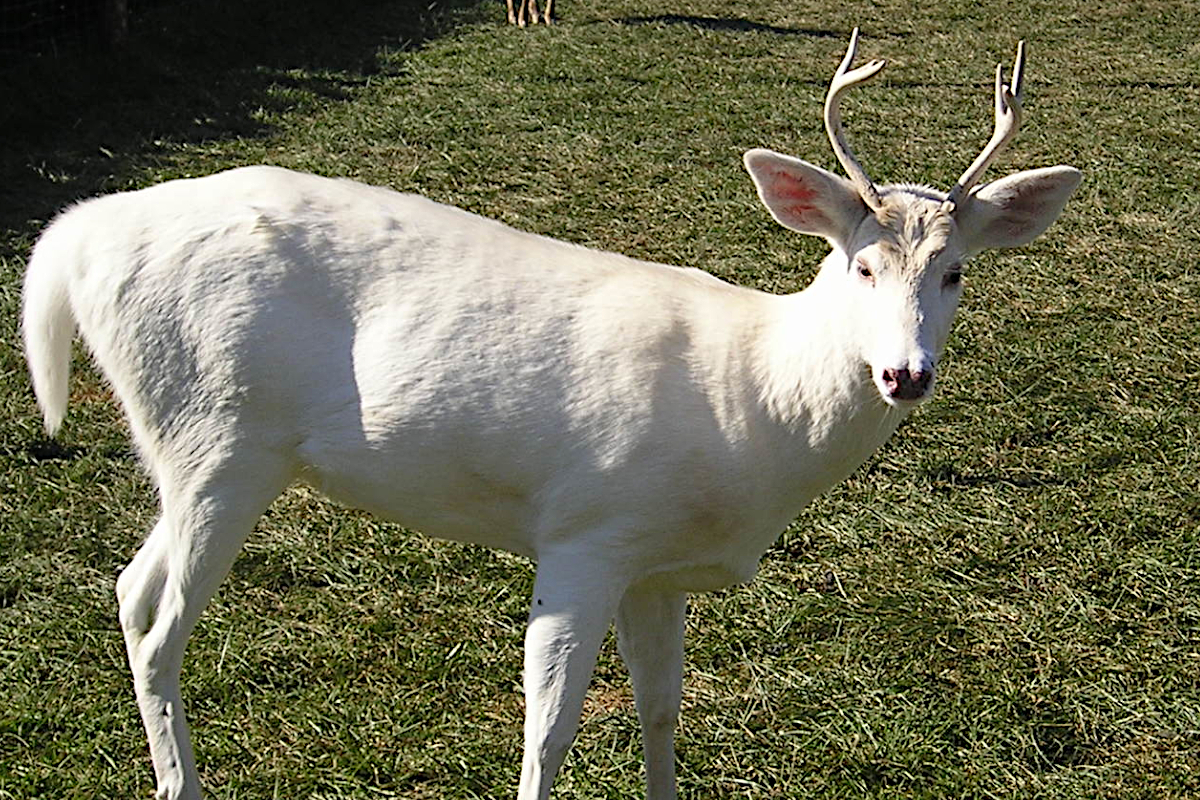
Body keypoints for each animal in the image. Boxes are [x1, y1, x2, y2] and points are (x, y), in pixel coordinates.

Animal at [22, 29, 1079, 800]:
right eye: (859, 264)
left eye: (955, 271)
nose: (905, 373)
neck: (748, 402)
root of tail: (74, 238)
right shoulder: (586, 528)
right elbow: (550, 726)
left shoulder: (659, 566)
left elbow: (661, 710)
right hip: (219, 434)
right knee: (161, 627)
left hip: (193, 445)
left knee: (129, 588)